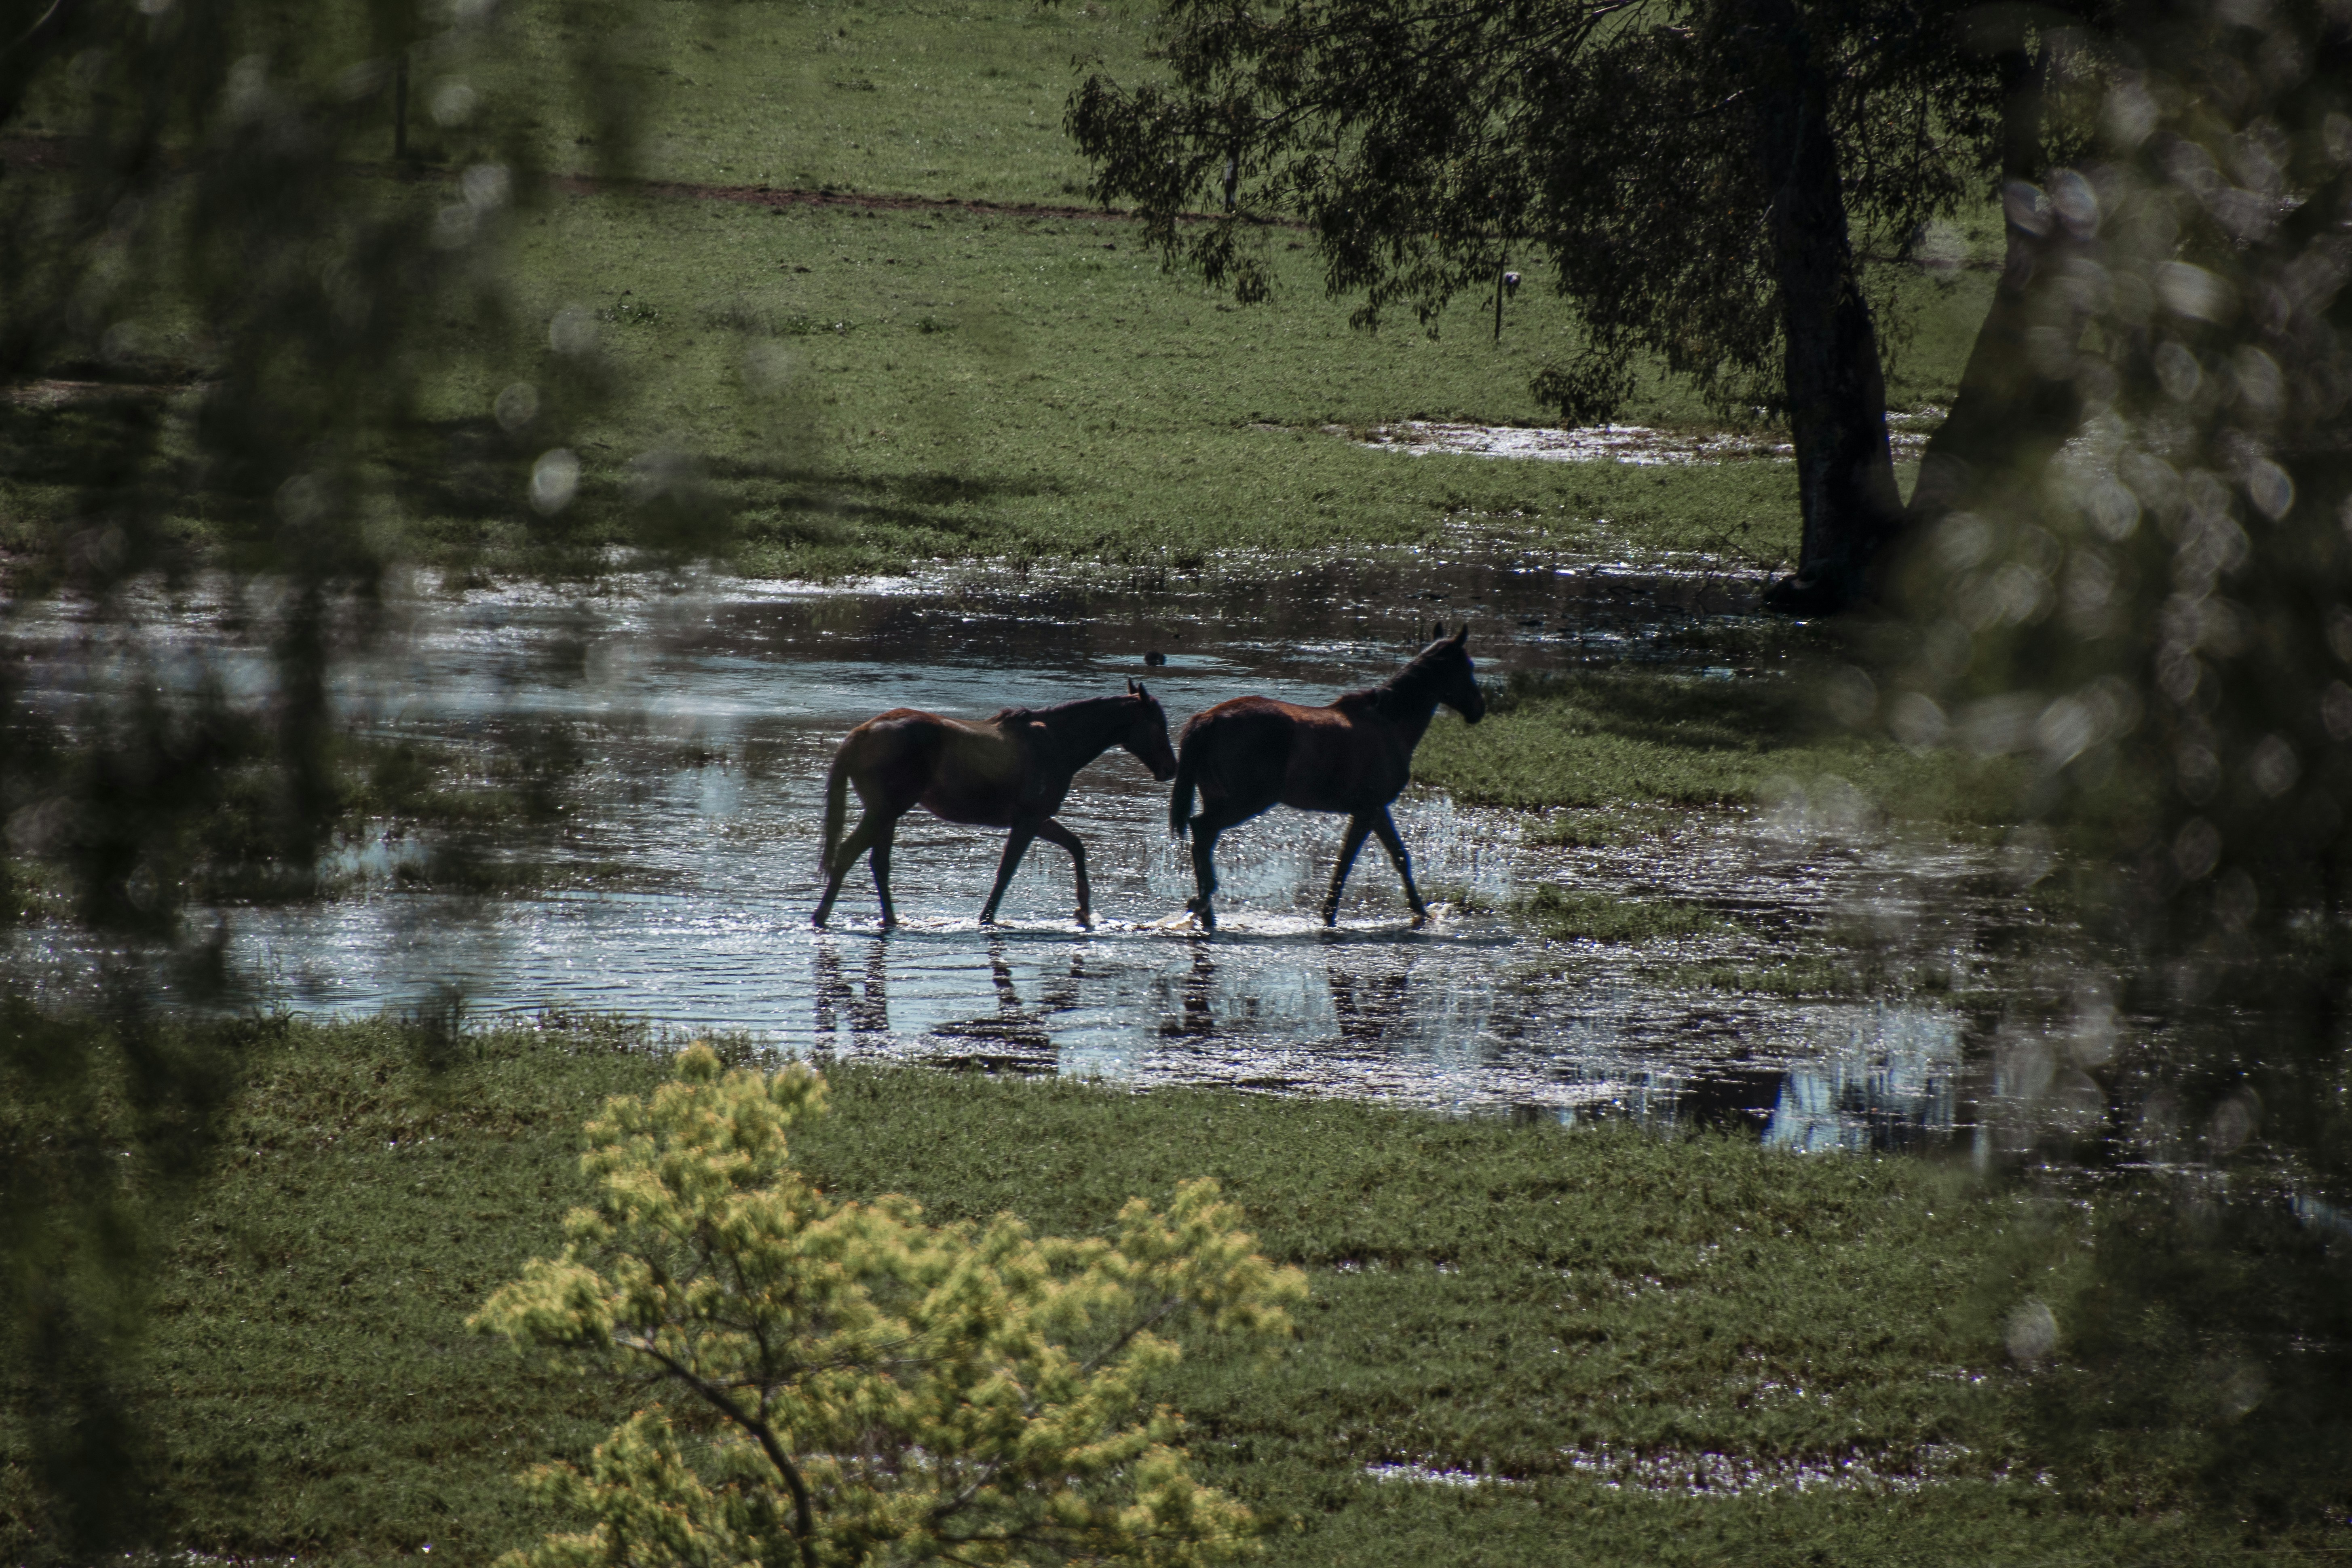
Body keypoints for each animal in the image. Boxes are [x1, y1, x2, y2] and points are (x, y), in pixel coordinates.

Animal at [813, 679, 1178, 930]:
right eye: (1159, 724)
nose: (1171, 768)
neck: (1060, 742)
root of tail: (859, 735)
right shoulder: (1029, 820)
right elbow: (1006, 871)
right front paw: (987, 918)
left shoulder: (1039, 819)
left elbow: (1076, 847)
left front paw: (1084, 911)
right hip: (885, 811)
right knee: (848, 855)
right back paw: (822, 916)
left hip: (887, 813)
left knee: (877, 863)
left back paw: (889, 919)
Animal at [1166, 623, 1484, 931]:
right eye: (1467, 666)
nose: (1479, 709)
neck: (1392, 725)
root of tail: (1206, 721)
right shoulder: (1367, 809)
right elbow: (1347, 862)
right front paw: (1329, 914)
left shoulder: (1375, 808)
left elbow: (1399, 857)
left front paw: (1420, 911)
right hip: (1246, 801)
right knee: (1201, 831)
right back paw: (1204, 903)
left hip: (1220, 798)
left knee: (1203, 838)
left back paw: (1204, 909)